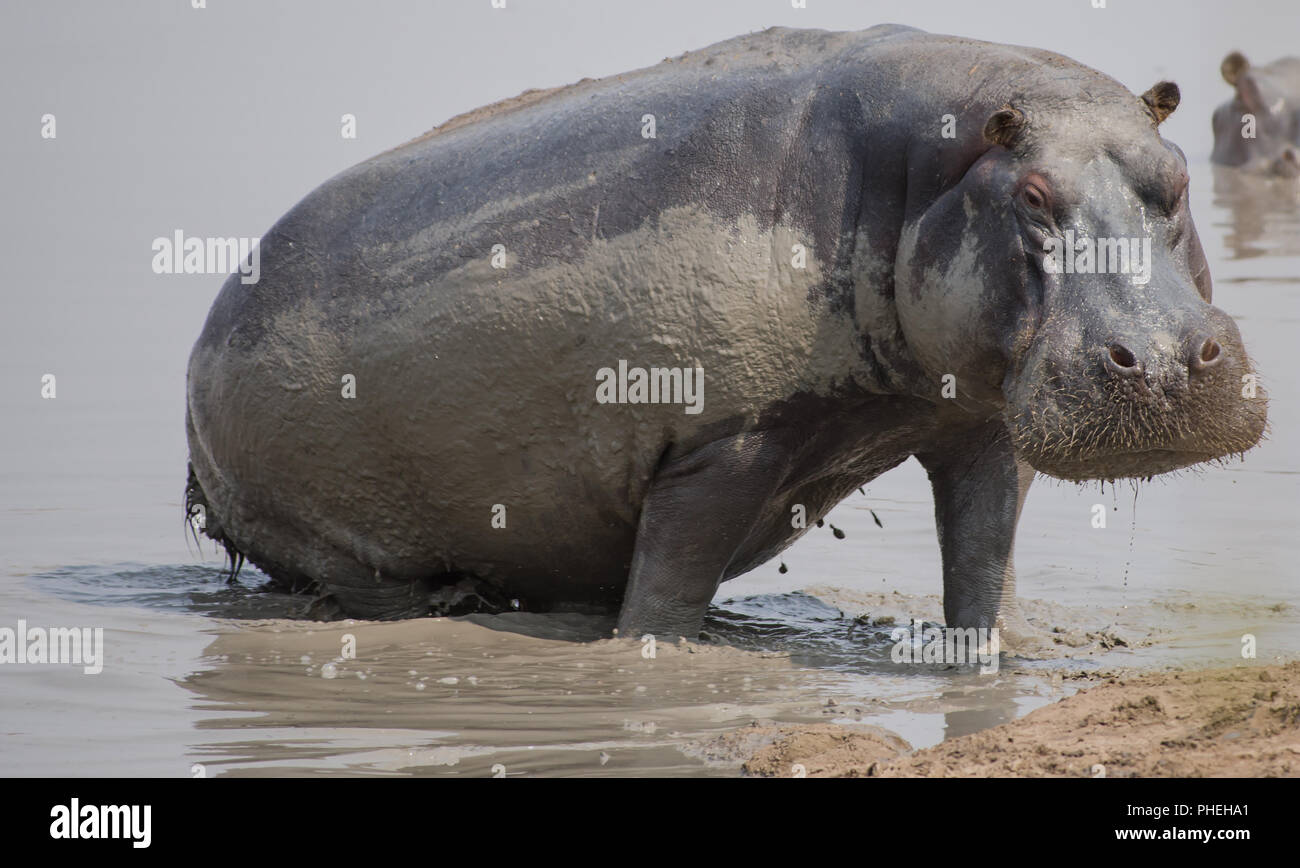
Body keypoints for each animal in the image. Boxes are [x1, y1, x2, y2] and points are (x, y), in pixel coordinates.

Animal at [185, 25, 1267, 643]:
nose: (1166, 360)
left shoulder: (980, 428)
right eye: (1032, 196)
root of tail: (200, 341)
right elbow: (659, 611)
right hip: (338, 546)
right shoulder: (722, 448)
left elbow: (980, 578)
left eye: (1173, 176)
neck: (923, 172)